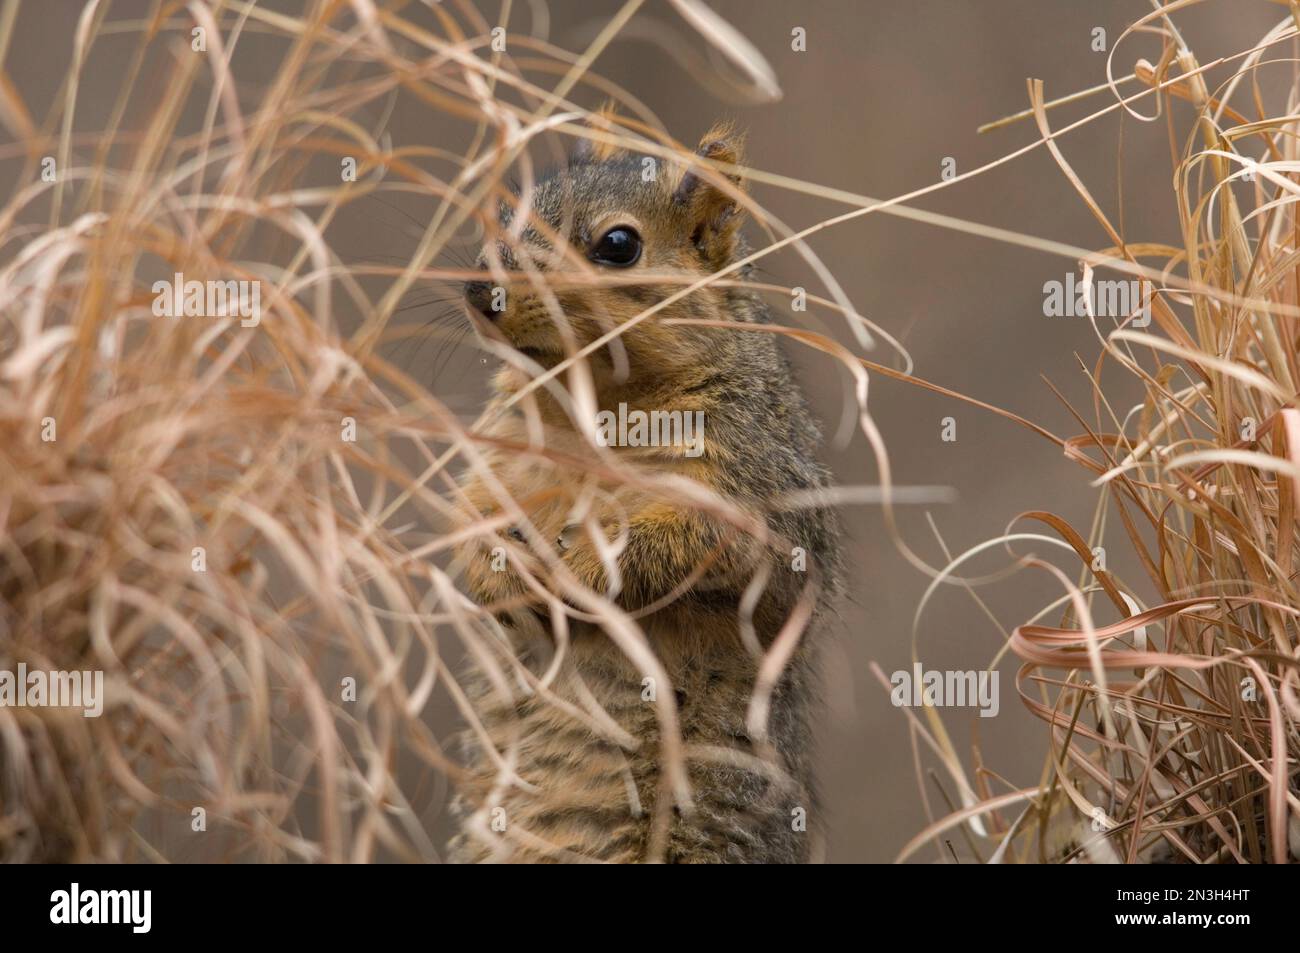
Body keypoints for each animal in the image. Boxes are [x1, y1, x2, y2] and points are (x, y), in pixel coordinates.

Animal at [447, 119, 842, 863]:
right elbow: (470, 519)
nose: (481, 291)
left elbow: (695, 546)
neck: (594, 414)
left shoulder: (752, 480)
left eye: (618, 245)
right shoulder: (501, 458)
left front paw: (580, 571)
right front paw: (493, 575)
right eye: (507, 215)